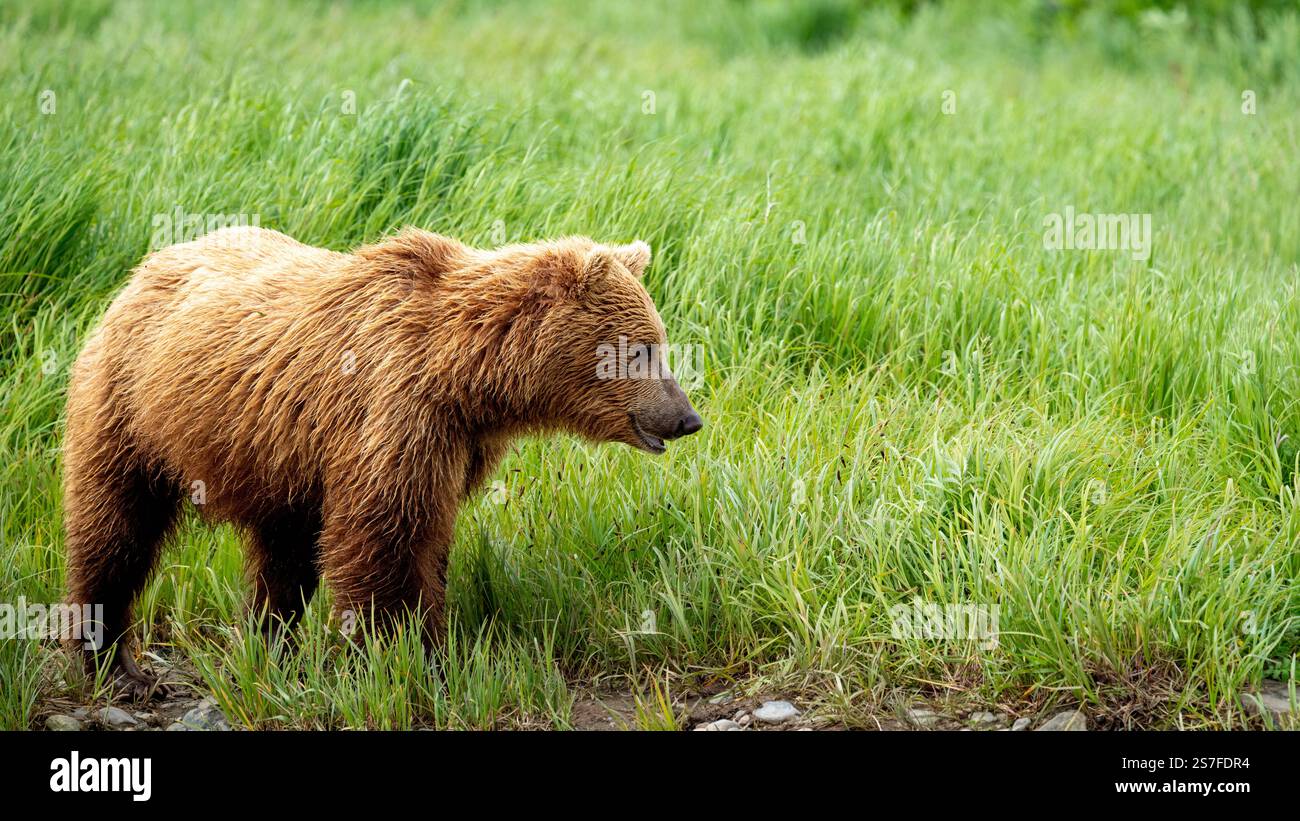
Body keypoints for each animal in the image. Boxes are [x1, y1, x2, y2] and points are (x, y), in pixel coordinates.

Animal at [61, 226, 702, 698]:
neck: (466, 378)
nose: (687, 417)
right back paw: (113, 661)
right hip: (130, 406)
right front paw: (401, 658)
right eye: (640, 350)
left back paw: (269, 647)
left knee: (282, 554)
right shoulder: (392, 412)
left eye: (659, 342)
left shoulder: (456, 442)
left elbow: (426, 537)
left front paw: (430, 649)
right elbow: (386, 536)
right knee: (117, 527)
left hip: (276, 456)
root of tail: (145, 267)